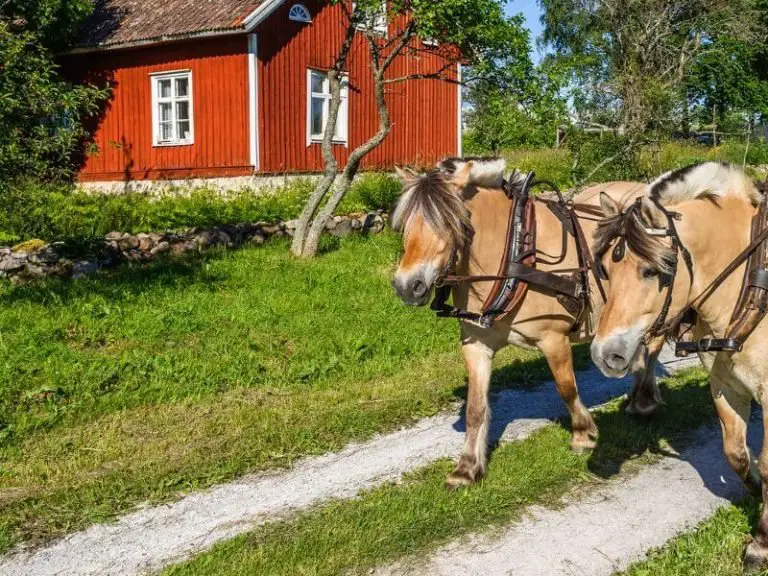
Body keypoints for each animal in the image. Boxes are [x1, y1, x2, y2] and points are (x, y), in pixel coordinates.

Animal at [390, 158, 663, 489]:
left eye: (453, 222)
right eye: (404, 224)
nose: (407, 286)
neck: (514, 255)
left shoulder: (553, 337)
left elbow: (565, 387)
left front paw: (583, 434)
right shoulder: (476, 344)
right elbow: (475, 406)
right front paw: (467, 467)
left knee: (653, 347)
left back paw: (644, 400)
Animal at [589, 161, 768, 572]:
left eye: (655, 270)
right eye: (604, 268)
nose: (605, 354)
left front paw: (762, 544)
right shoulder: (725, 384)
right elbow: (736, 453)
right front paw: (752, 485)